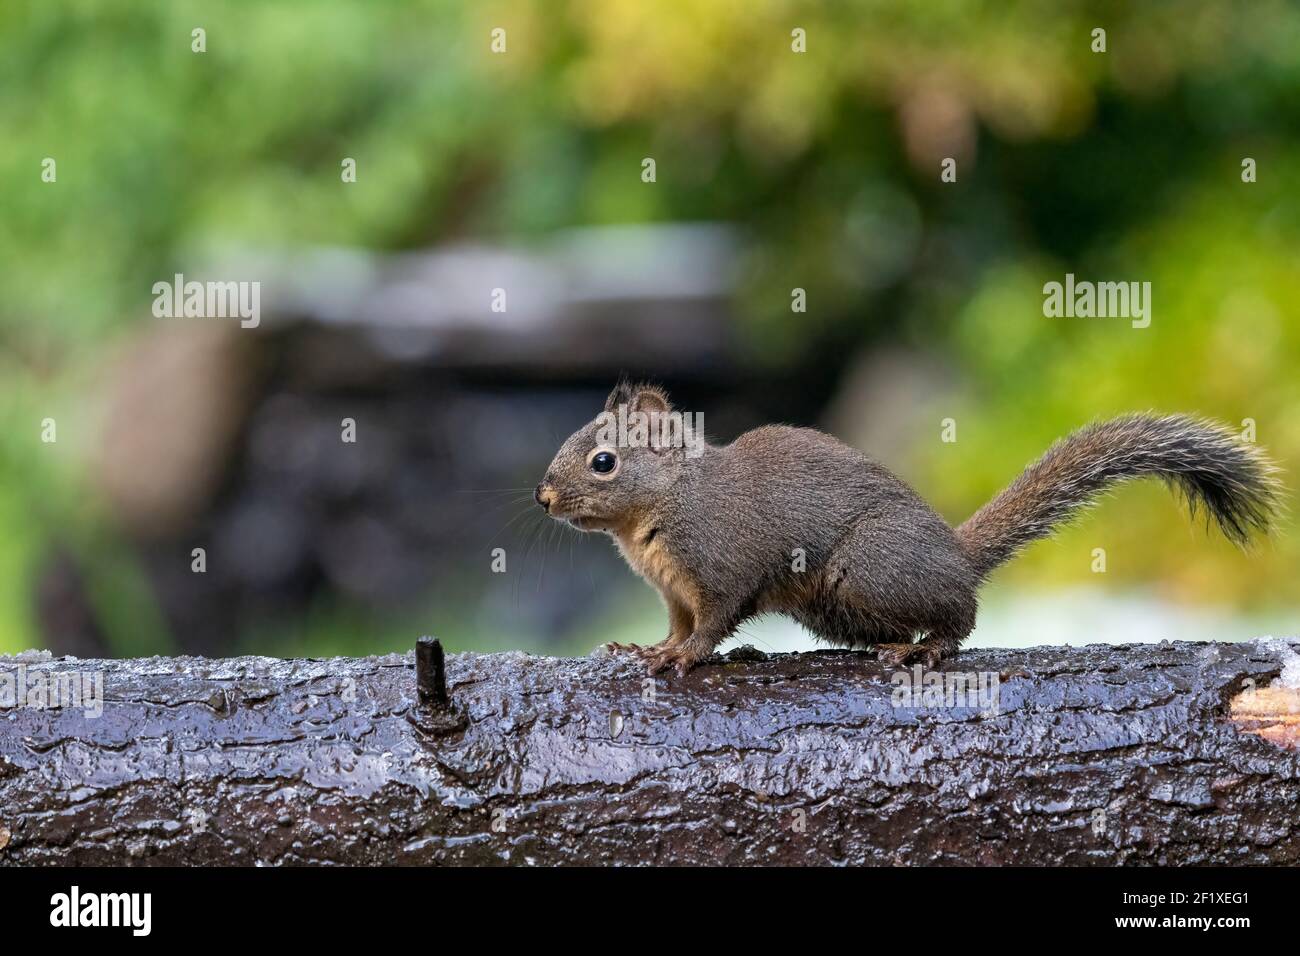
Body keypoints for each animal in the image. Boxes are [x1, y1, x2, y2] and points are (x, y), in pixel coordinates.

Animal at [536, 380, 1281, 676]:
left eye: (603, 462)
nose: (543, 497)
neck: (665, 506)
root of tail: (955, 553)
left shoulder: (719, 568)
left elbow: (713, 623)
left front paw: (682, 659)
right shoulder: (672, 592)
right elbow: (679, 623)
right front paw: (647, 648)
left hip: (869, 570)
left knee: (964, 613)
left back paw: (928, 647)